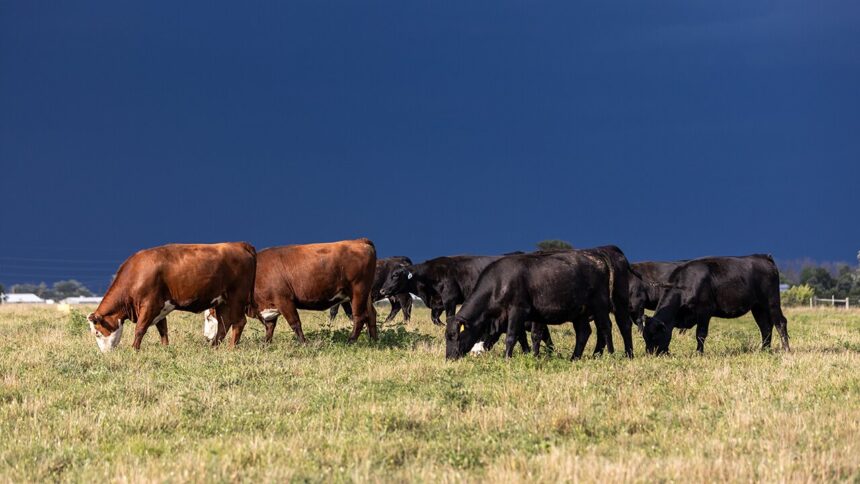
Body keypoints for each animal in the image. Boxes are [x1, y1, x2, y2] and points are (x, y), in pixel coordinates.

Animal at [87, 242, 258, 353]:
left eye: (97, 333)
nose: (105, 354)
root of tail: (239, 244)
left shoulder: (150, 305)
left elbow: (140, 329)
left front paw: (134, 350)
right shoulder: (160, 308)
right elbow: (163, 330)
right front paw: (165, 349)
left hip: (237, 297)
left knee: (239, 322)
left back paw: (231, 348)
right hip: (222, 300)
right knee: (224, 324)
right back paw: (213, 348)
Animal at [214, 238, 378, 344]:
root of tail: (359, 241)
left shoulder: (284, 299)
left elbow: (295, 323)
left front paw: (303, 343)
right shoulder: (270, 303)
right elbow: (269, 326)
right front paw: (266, 344)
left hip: (358, 291)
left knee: (360, 317)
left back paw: (351, 341)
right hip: (365, 294)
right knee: (371, 314)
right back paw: (374, 341)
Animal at [445, 246, 636, 360]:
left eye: (454, 336)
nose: (449, 357)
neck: (500, 282)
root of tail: (598, 255)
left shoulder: (518, 310)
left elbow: (512, 336)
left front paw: (508, 358)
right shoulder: (535, 315)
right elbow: (534, 336)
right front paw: (534, 355)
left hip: (603, 305)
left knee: (610, 327)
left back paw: (615, 354)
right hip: (580, 311)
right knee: (584, 332)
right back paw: (574, 358)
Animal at [641, 254, 790, 355]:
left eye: (654, 336)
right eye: (644, 337)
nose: (650, 354)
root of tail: (763, 257)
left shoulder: (704, 311)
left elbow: (700, 334)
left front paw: (699, 353)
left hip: (771, 301)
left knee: (780, 323)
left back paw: (786, 349)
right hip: (758, 306)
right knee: (765, 327)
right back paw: (764, 350)